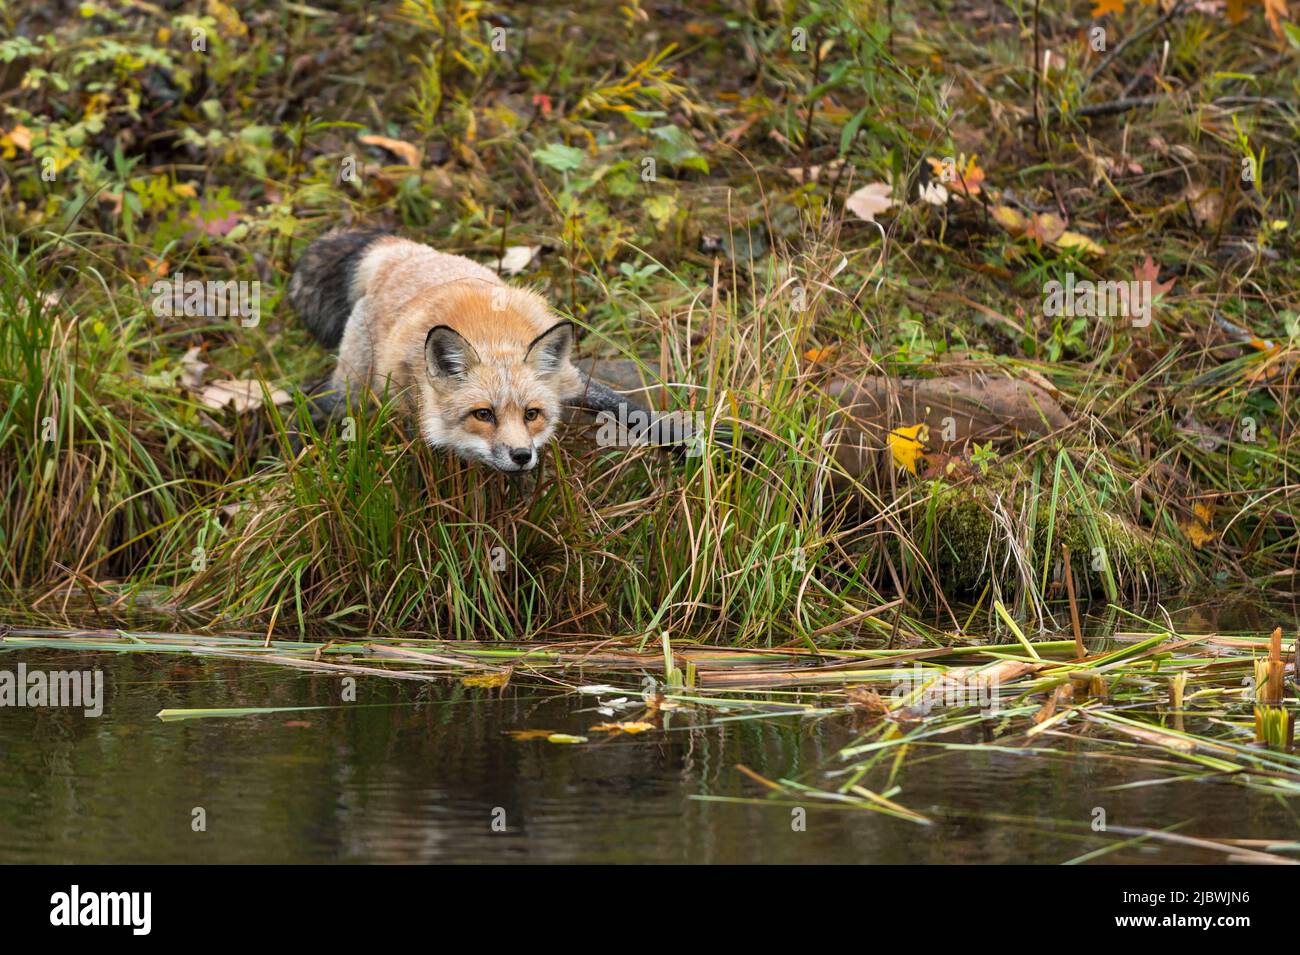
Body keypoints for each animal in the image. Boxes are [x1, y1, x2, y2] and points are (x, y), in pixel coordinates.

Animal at [287, 230, 661, 472]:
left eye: (532, 414)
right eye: (483, 415)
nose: (522, 456)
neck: (492, 334)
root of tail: (402, 256)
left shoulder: (571, 379)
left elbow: (630, 409)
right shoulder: (413, 409)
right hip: (355, 390)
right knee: (313, 405)